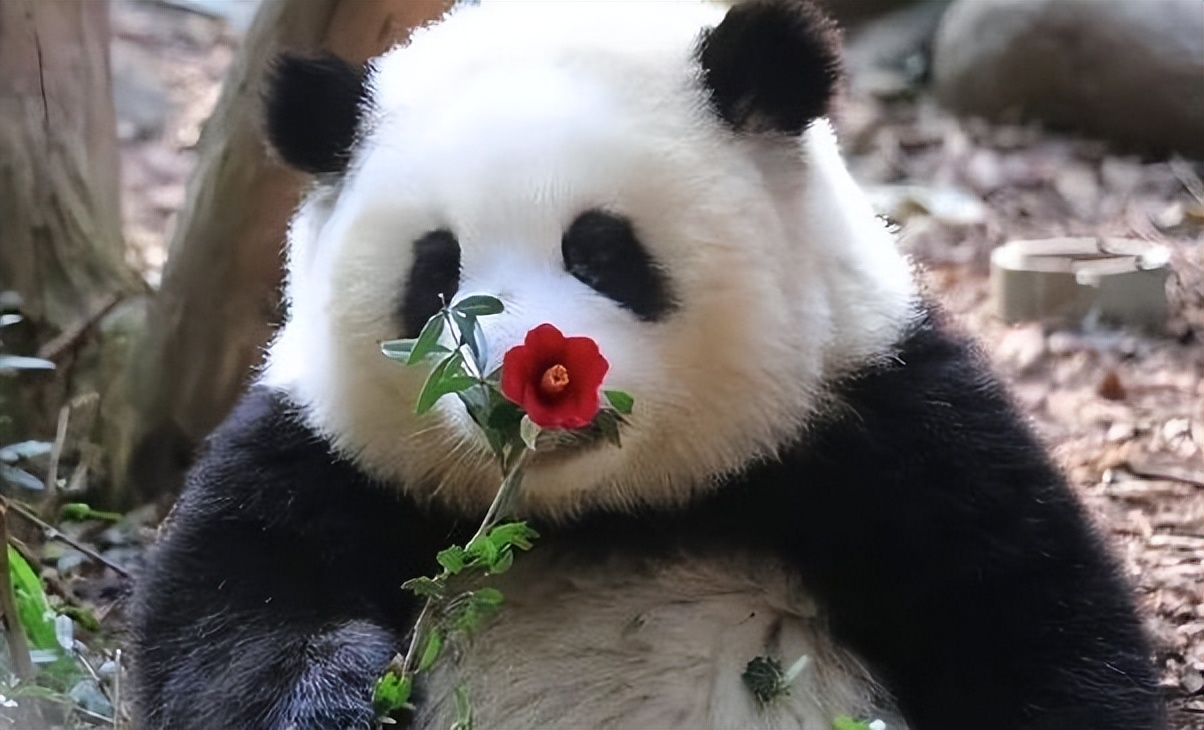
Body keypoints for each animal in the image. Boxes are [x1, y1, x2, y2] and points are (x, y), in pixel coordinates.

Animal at [129, 1, 1165, 729]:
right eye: (435, 274)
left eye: (600, 251)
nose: (525, 382)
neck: (605, 513)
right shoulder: (327, 449)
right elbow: (224, 604)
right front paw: (329, 700)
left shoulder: (879, 423)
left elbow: (1030, 622)